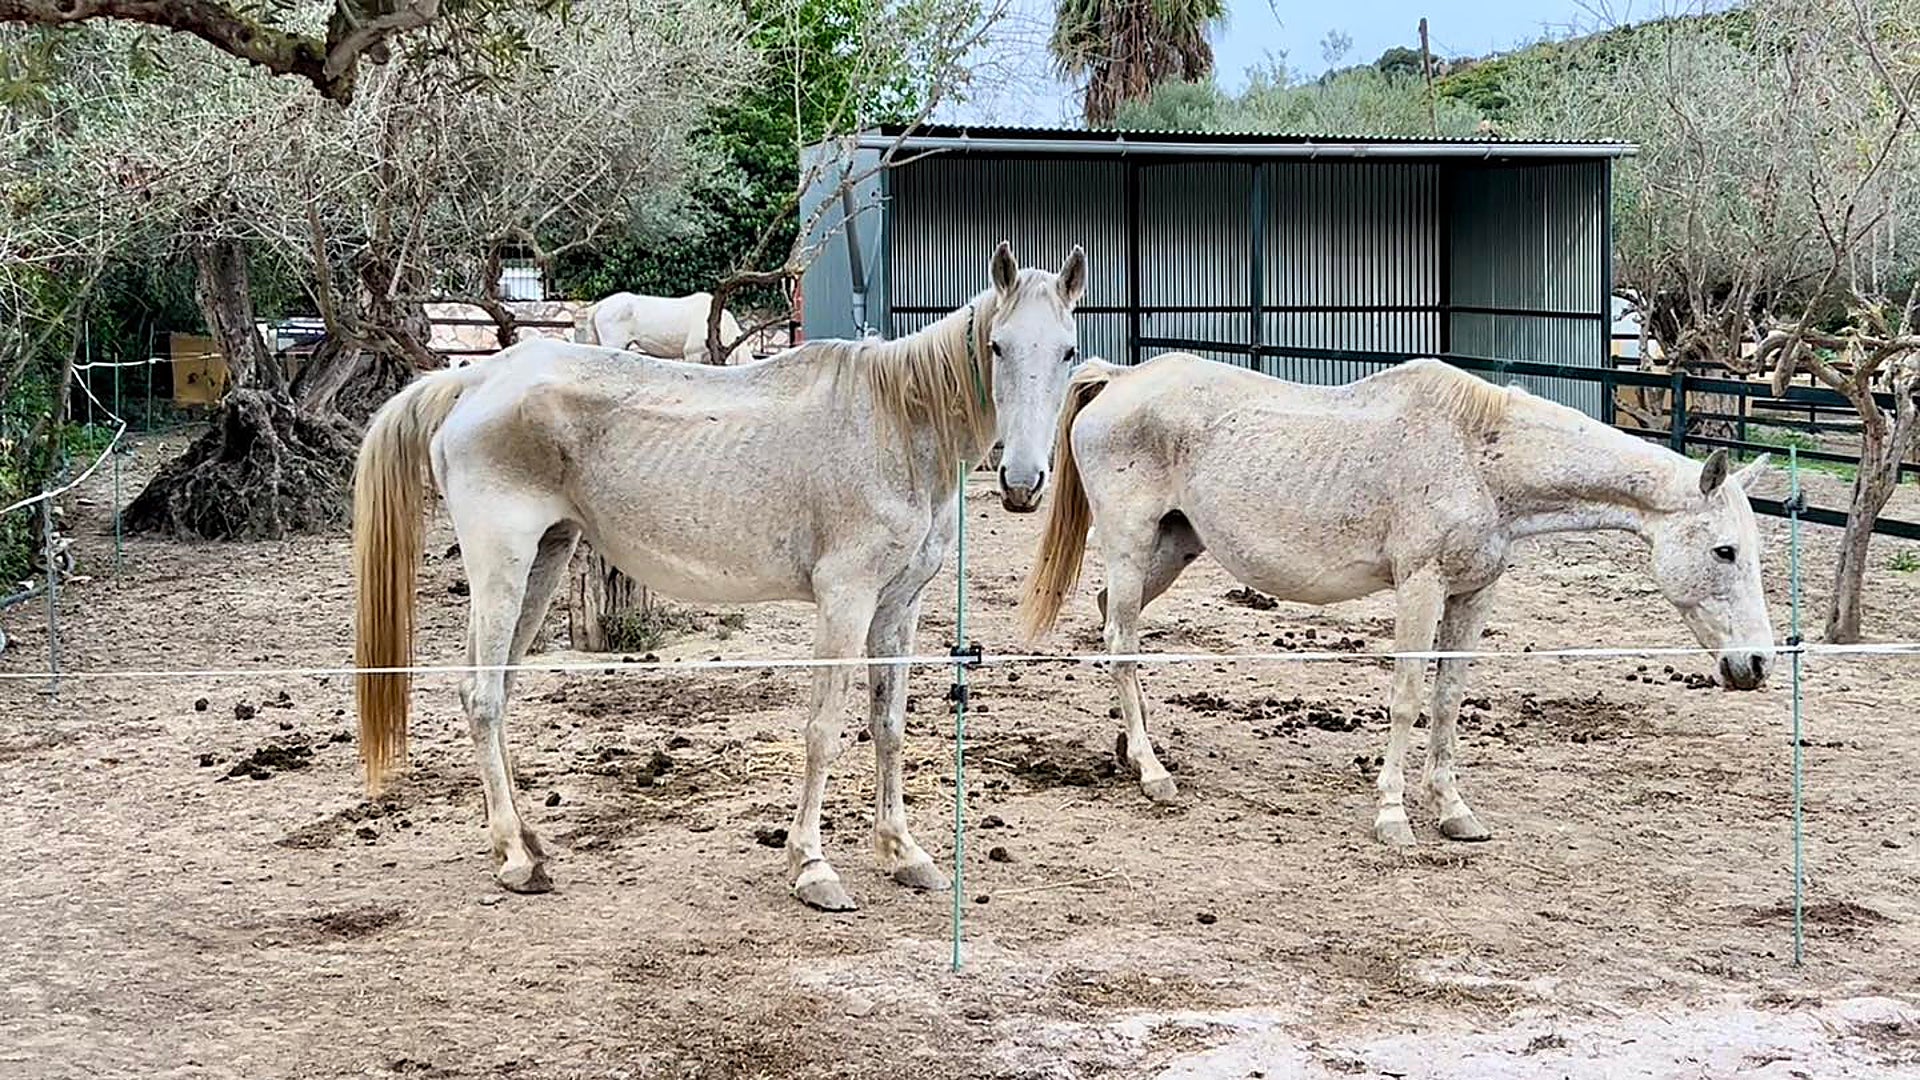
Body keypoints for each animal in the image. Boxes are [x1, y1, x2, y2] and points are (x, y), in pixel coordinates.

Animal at [1017, 353, 1775, 847]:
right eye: (1724, 551)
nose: (1757, 665)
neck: (1481, 455)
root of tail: (1119, 379)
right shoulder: (1421, 585)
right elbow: (1408, 696)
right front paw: (1393, 817)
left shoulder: (1474, 593)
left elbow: (1448, 700)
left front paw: (1454, 812)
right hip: (1130, 544)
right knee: (1120, 644)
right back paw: (1152, 773)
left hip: (1170, 550)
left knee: (1114, 627)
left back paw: (1129, 747)